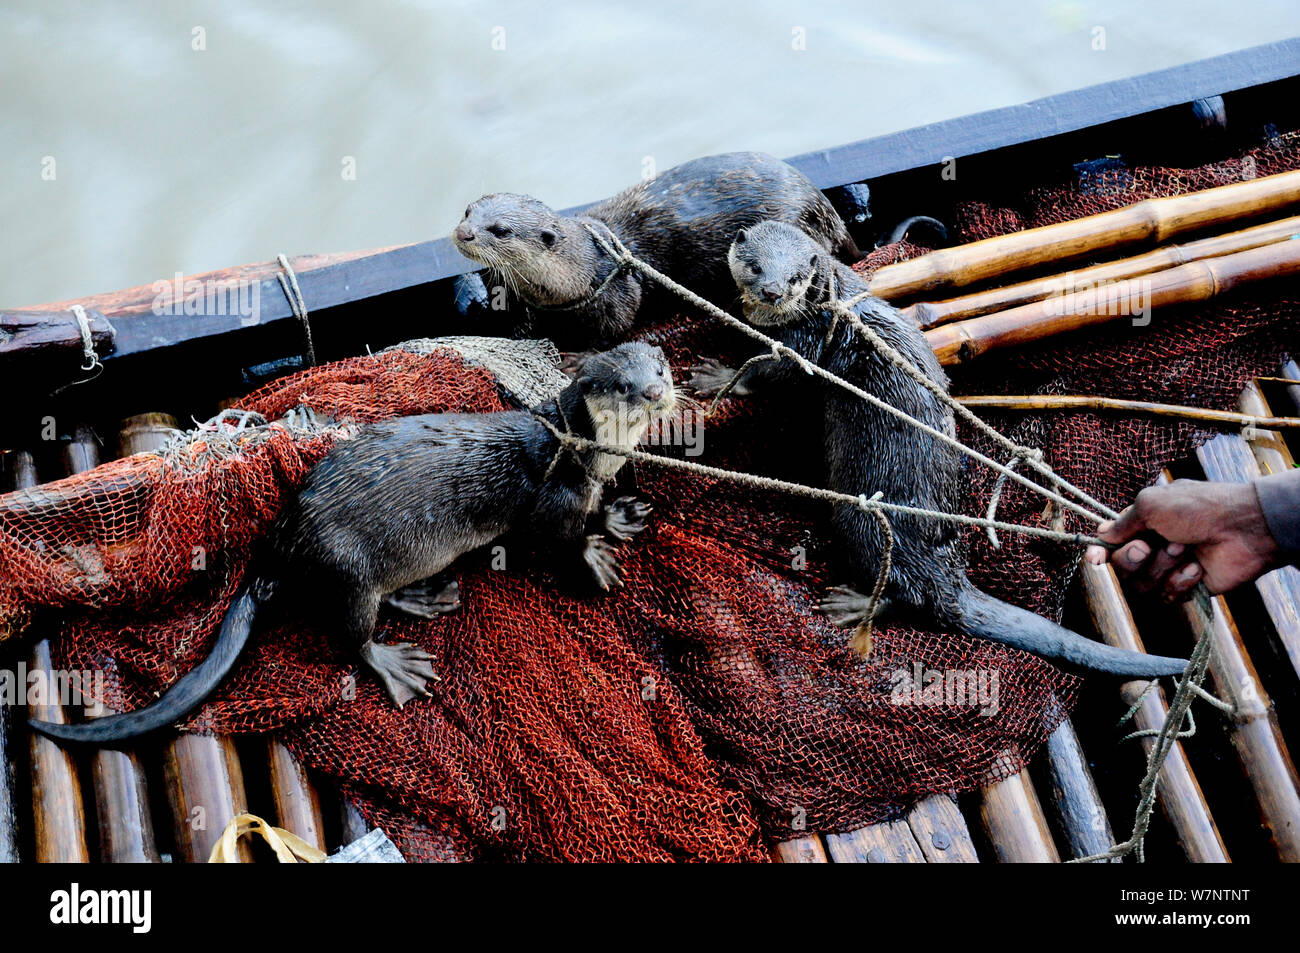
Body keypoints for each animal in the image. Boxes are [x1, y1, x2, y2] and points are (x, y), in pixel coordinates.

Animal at [30, 342, 675, 744]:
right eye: (620, 386)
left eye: (661, 372)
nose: (652, 393)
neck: (582, 452)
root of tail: (280, 546)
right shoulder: (554, 500)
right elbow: (562, 538)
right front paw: (594, 556)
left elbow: (600, 508)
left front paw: (618, 515)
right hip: (347, 566)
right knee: (352, 635)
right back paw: (398, 665)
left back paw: (426, 597)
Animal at [451, 152, 862, 350]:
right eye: (468, 210)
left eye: (500, 230)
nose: (463, 233)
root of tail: (823, 204)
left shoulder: (619, 291)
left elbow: (615, 328)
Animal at [693, 221, 1187, 679]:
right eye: (756, 266)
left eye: (796, 277)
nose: (773, 291)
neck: (830, 304)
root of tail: (949, 574)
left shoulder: (808, 342)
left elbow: (774, 374)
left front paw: (720, 377)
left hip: (863, 519)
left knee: (910, 593)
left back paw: (855, 606)